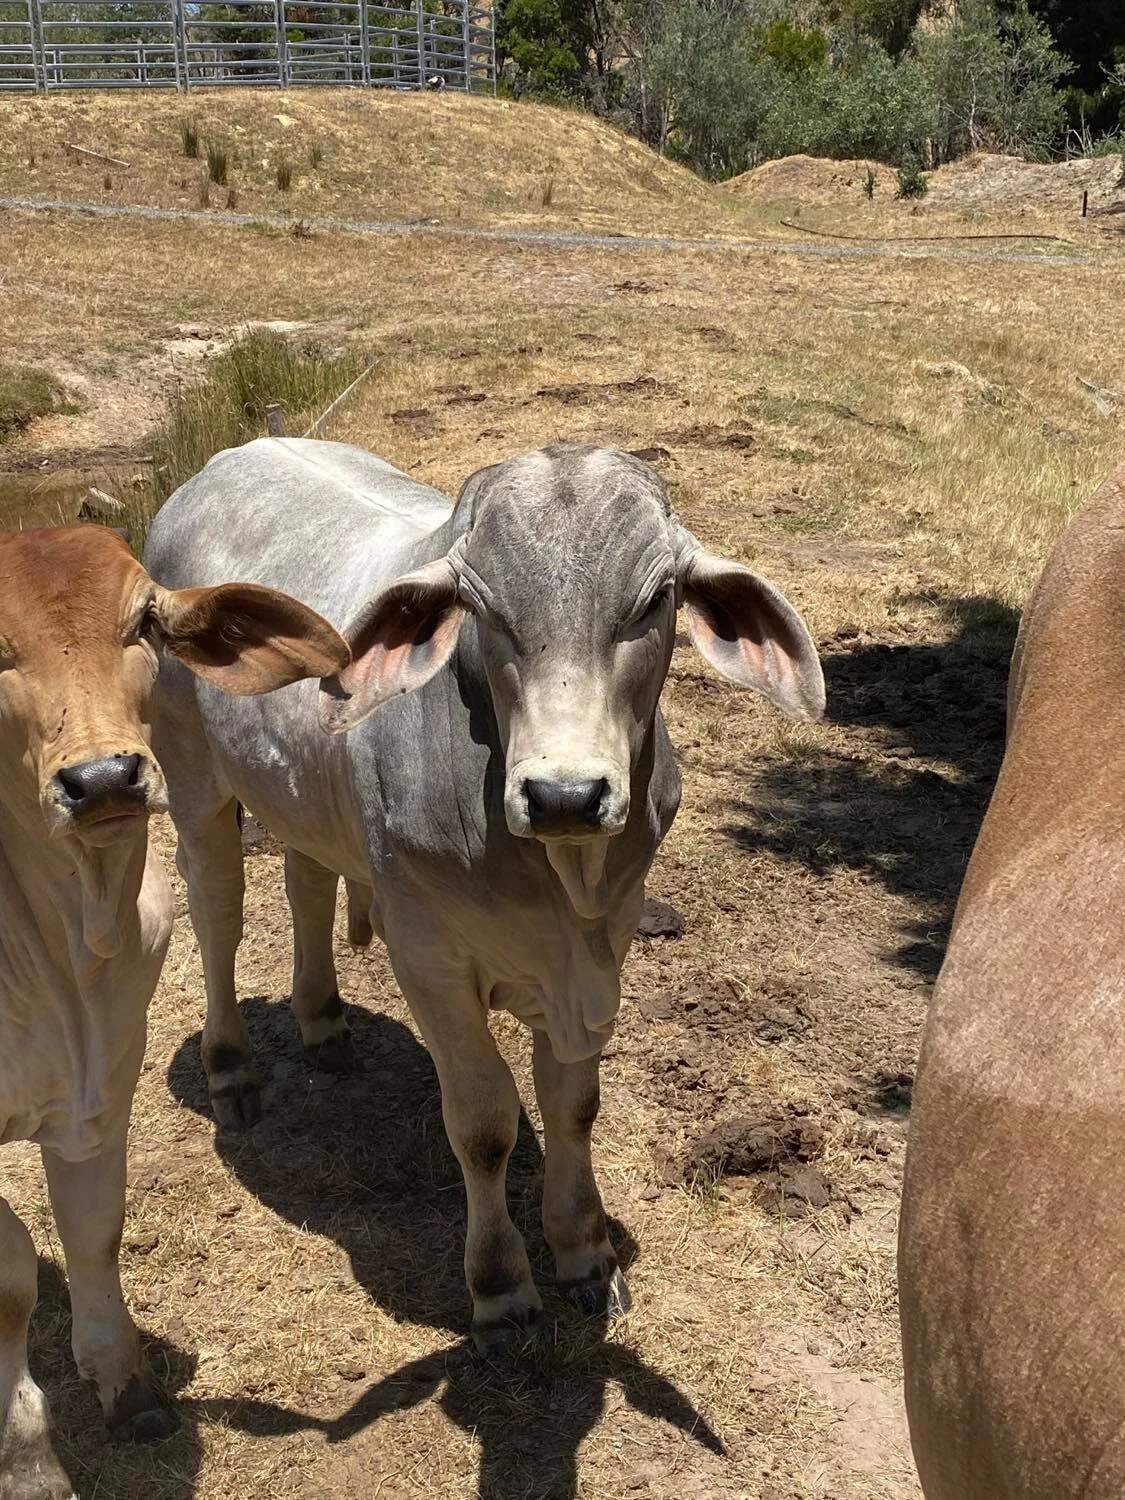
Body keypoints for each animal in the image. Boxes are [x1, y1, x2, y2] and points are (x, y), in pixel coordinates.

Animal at [0, 525, 347, 1500]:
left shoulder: (99, 1095)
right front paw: (26, 1455)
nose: (102, 778)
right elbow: (8, 1273)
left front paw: (125, 1386)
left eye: (144, 623)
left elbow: (93, 1233)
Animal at [144, 438, 825, 1351]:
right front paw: (500, 1287)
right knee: (216, 913)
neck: (559, 877)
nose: (565, 795)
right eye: (481, 607)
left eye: (653, 600)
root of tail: (225, 457)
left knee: (307, 883)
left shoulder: (605, 944)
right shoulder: (426, 954)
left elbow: (573, 1105)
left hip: (298, 794)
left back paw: (323, 1022)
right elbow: (483, 1123)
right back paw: (232, 1071)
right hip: (191, 777)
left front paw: (584, 1253)